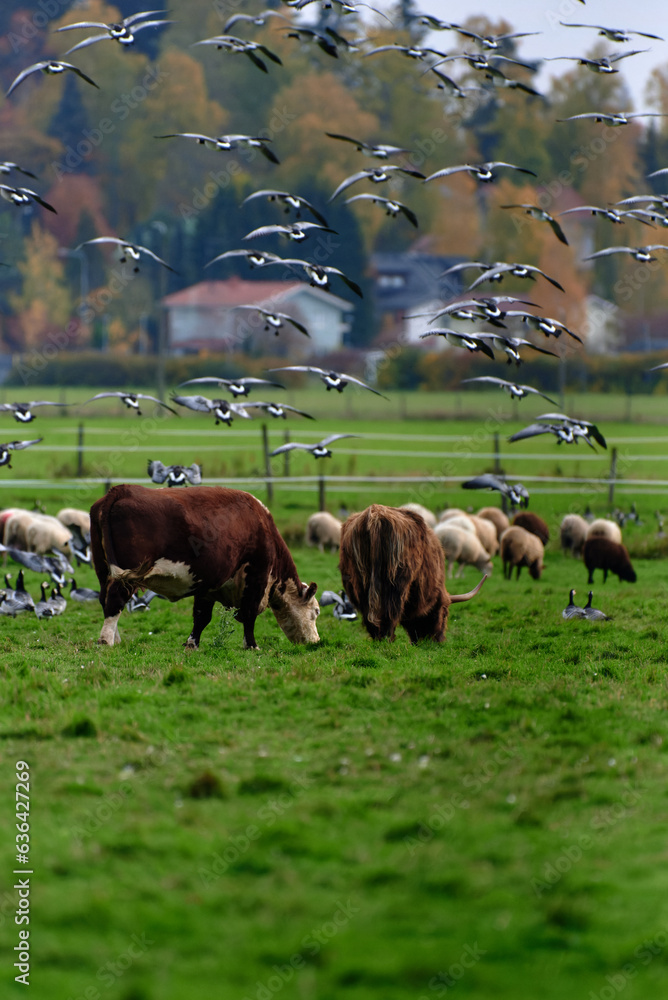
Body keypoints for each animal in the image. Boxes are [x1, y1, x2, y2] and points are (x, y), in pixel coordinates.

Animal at [90, 484, 320, 649]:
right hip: (127, 576)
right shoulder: (256, 579)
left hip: (103, 570)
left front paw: (192, 643)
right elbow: (249, 616)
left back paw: (116, 639)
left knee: (105, 600)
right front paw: (252, 645)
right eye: (316, 612)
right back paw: (106, 641)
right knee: (115, 600)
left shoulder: (208, 585)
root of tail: (121, 490)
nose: (316, 642)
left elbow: (201, 617)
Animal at [339, 504, 486, 643]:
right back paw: (388, 640)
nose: (439, 640)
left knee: (368, 614)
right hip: (396, 582)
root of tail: (374, 516)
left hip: (357, 582)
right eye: (444, 612)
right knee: (390, 612)